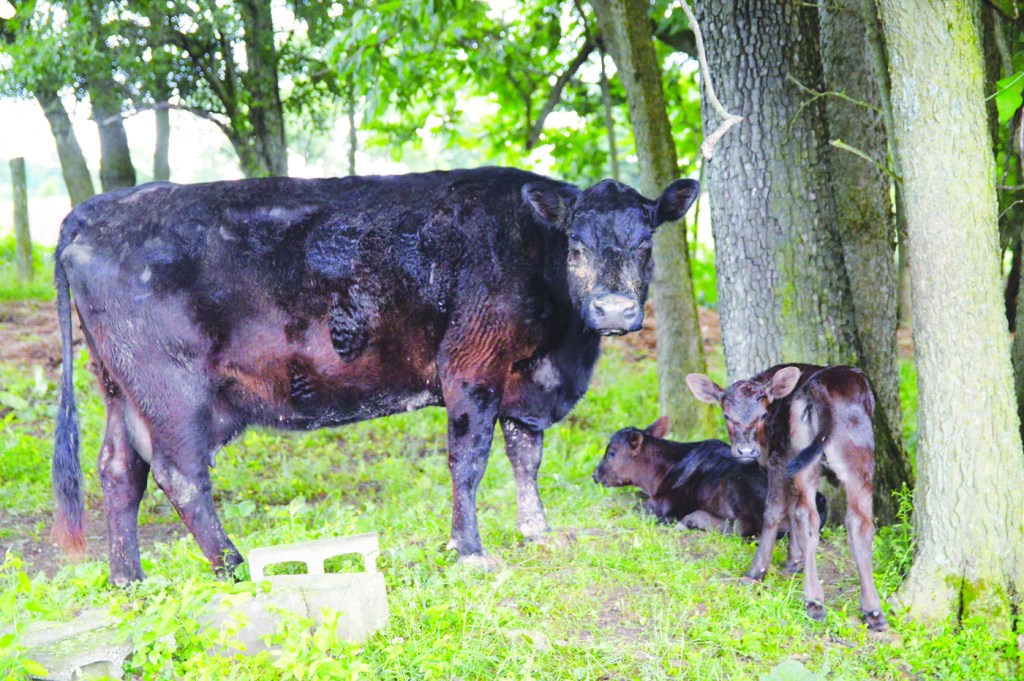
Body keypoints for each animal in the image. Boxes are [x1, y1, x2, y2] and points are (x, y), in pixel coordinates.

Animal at [51, 167, 699, 584]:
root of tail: (97, 210)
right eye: (576, 246)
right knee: (179, 475)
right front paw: (470, 552)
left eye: (647, 243)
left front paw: (536, 531)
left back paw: (129, 580)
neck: (562, 352)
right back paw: (235, 568)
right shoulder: (470, 365)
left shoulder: (525, 382)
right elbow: (470, 460)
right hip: (173, 389)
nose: (613, 309)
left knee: (119, 470)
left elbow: (526, 455)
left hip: (120, 386)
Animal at [592, 416, 826, 537]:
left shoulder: (663, 505)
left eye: (611, 453)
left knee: (743, 527)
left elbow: (637, 507)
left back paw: (693, 519)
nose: (595, 475)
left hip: (740, 489)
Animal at [686, 364, 887, 631]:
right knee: (858, 522)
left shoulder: (779, 459)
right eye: (727, 416)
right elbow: (790, 510)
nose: (746, 451)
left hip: (802, 456)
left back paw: (814, 601)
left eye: (763, 414)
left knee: (808, 516)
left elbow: (774, 512)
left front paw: (757, 572)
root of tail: (821, 387)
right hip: (859, 457)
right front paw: (794, 561)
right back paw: (873, 611)